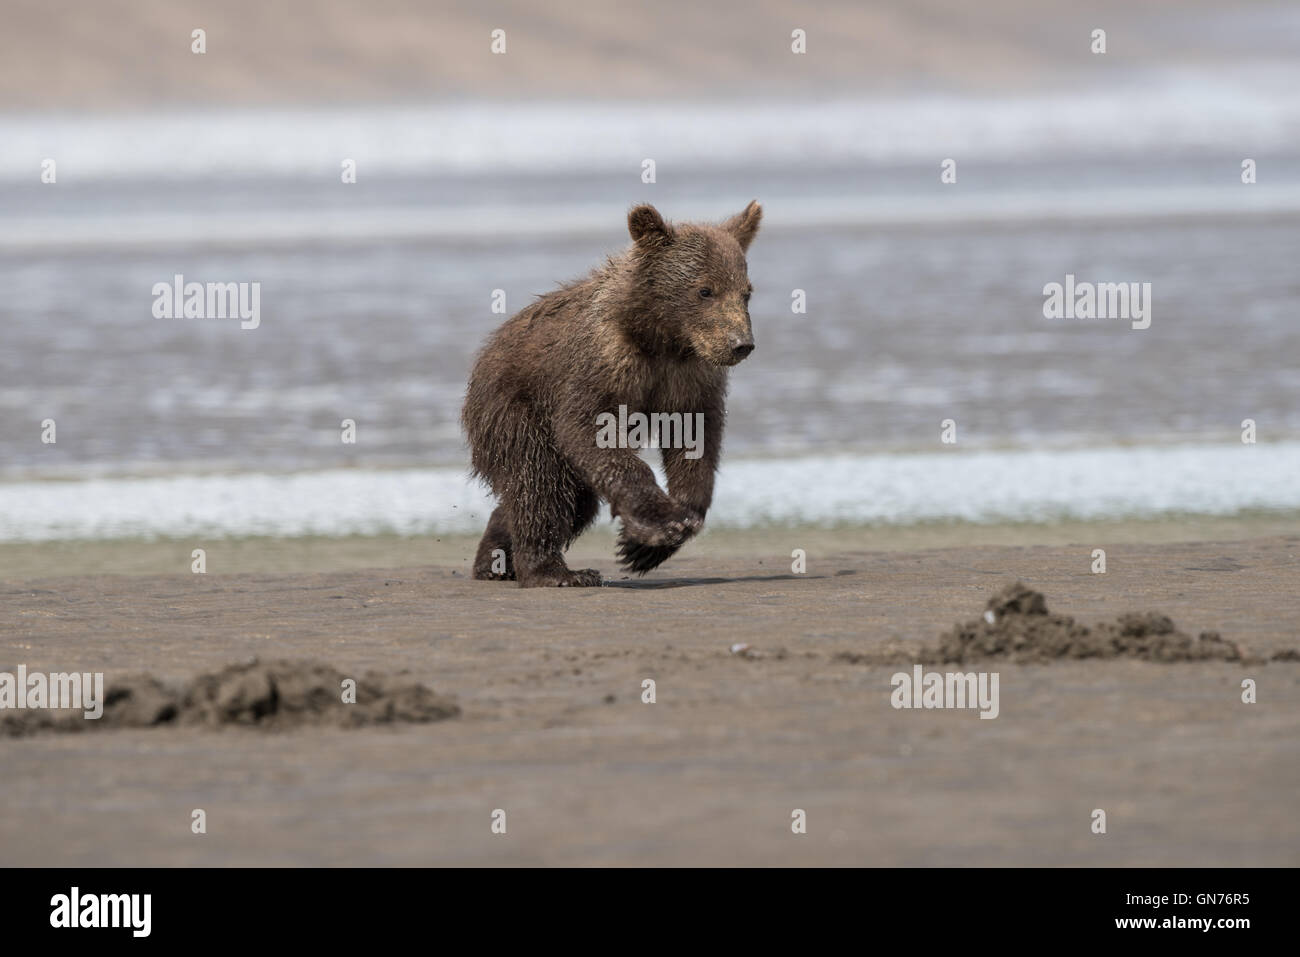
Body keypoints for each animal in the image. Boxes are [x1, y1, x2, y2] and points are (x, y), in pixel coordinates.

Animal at [462, 200, 762, 587]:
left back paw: (495, 559)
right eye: (705, 290)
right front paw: (659, 522)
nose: (741, 344)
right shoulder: (603, 361)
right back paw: (554, 571)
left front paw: (646, 545)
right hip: (512, 407)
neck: (660, 339)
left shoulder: (690, 375)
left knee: (569, 499)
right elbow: (587, 425)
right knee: (541, 484)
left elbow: (694, 439)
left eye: (746, 292)